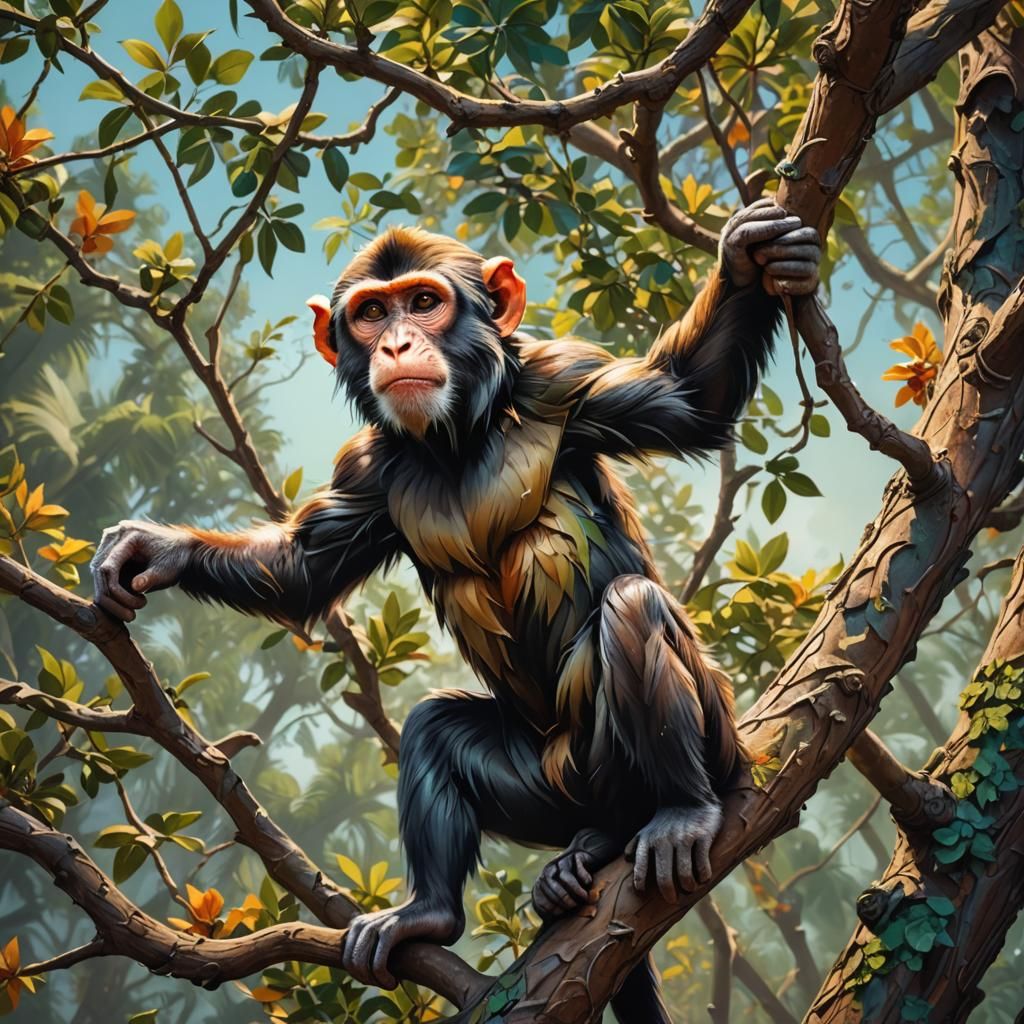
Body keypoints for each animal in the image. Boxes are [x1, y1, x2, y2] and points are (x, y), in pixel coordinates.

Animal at [91, 197, 820, 1022]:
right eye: (372, 313)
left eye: (424, 301)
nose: (398, 341)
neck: (458, 436)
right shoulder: (368, 466)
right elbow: (301, 570)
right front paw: (156, 550)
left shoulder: (564, 380)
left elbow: (690, 394)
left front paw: (751, 255)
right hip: (543, 788)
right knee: (435, 726)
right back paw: (443, 907)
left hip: (709, 748)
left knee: (633, 607)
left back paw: (678, 813)